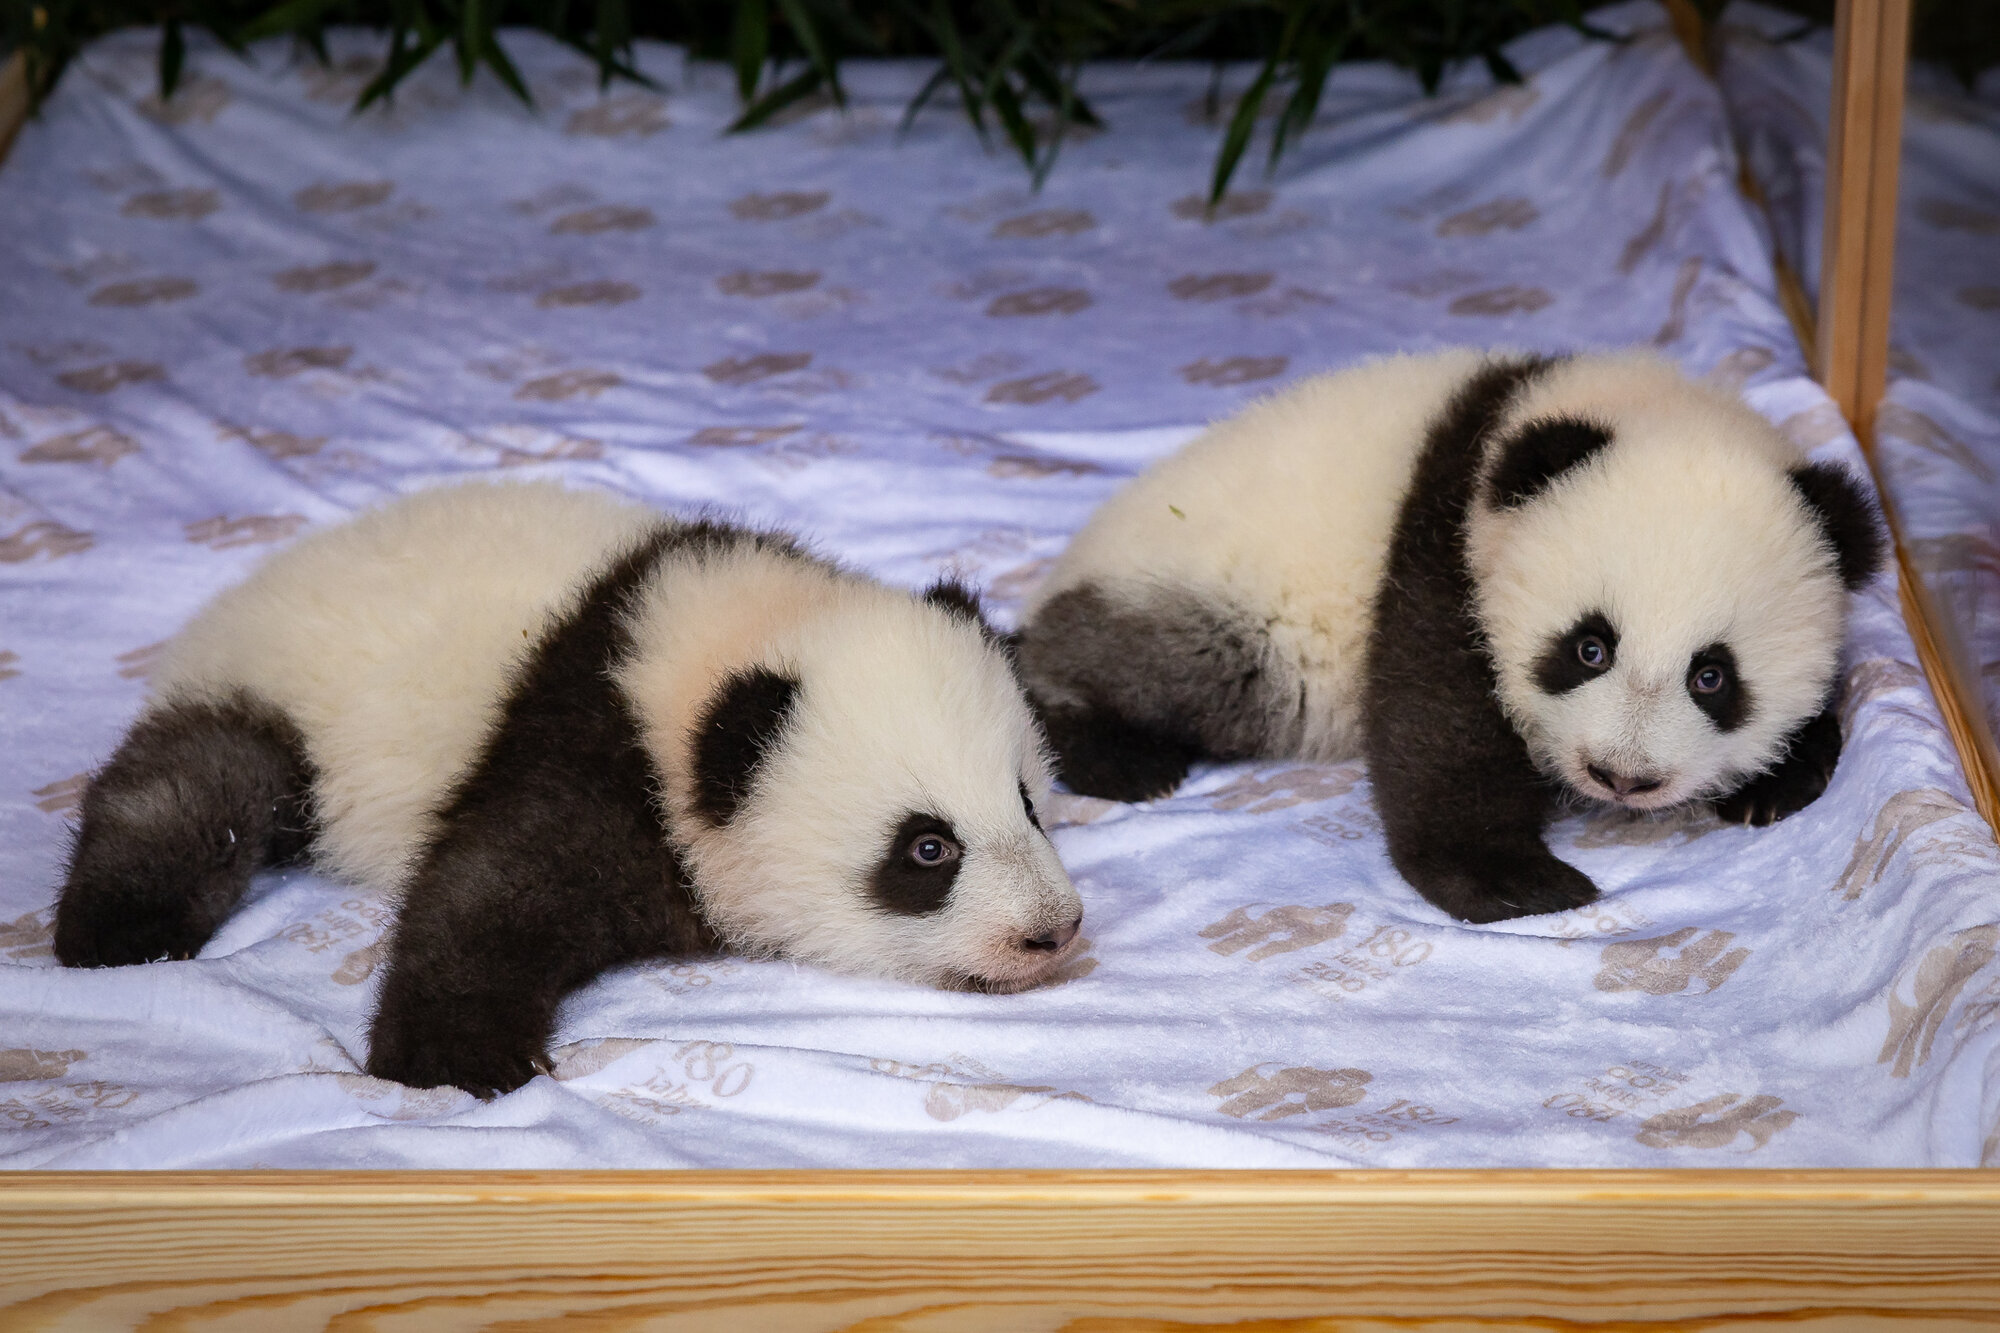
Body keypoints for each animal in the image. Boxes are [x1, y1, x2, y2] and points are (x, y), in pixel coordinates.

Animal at [53, 482, 1082, 1097]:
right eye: (927, 848)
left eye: (1028, 803)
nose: (1053, 931)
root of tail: (233, 600)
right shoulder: (590, 749)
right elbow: (492, 888)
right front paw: (458, 1054)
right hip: (278, 701)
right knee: (193, 791)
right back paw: (118, 927)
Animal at [1012, 349, 1885, 925]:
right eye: (1588, 648)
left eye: (1713, 676)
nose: (1622, 777)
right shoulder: (1444, 538)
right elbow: (1435, 718)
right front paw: (1512, 880)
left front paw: (1781, 774)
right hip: (1213, 606)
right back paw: (1118, 755)